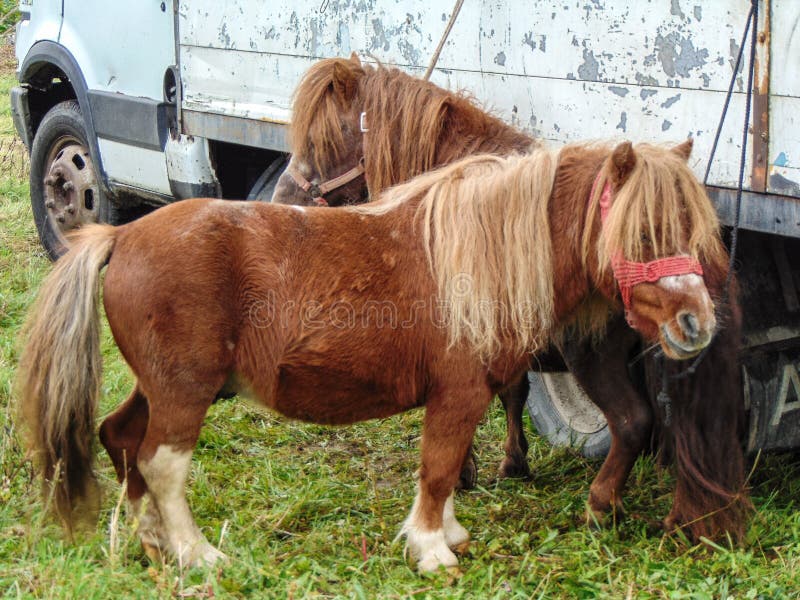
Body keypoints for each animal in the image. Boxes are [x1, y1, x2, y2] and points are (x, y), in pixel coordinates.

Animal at [18, 140, 724, 572]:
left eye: (694, 228)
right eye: (644, 231)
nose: (698, 323)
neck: (481, 253)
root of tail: (121, 235)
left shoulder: (464, 398)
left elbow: (448, 468)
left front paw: (448, 533)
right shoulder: (458, 394)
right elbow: (438, 470)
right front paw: (432, 549)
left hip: (166, 387)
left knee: (122, 438)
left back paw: (151, 542)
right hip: (185, 392)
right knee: (161, 464)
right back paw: (196, 555)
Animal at [270, 55, 751, 542]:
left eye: (321, 139)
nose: (281, 198)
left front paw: (464, 473)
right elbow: (512, 393)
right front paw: (513, 461)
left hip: (593, 354)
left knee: (633, 421)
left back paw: (601, 505)